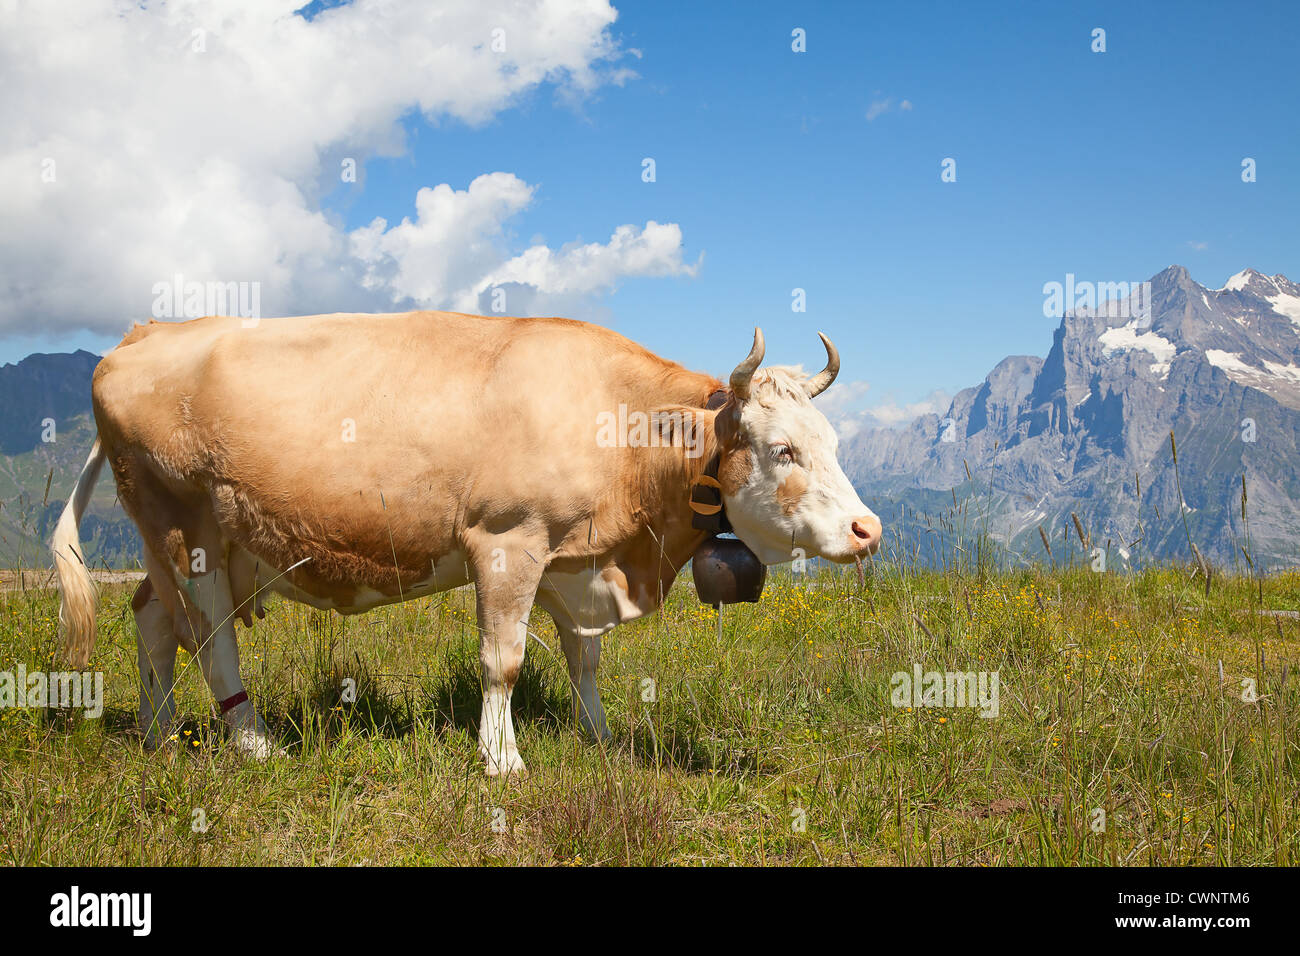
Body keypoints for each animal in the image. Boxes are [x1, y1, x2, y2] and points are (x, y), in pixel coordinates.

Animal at [52, 313, 882, 775]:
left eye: (833, 442)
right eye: (781, 449)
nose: (868, 529)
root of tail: (140, 336)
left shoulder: (573, 559)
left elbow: (584, 661)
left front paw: (599, 735)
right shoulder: (508, 541)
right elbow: (503, 660)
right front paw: (502, 759)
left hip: (204, 547)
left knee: (153, 622)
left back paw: (160, 736)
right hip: (186, 529)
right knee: (209, 638)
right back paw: (253, 744)